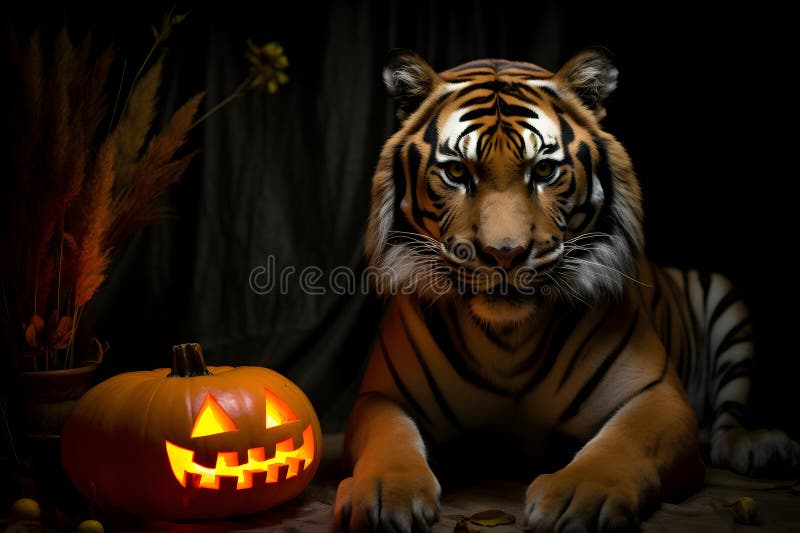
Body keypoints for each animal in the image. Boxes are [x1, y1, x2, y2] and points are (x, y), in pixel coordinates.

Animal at [334, 49, 800, 532]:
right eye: (457, 172)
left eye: (543, 169)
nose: (504, 254)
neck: (508, 342)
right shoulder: (381, 398)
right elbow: (390, 437)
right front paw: (386, 492)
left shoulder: (659, 397)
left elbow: (623, 443)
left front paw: (582, 494)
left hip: (728, 305)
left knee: (728, 421)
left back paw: (761, 448)